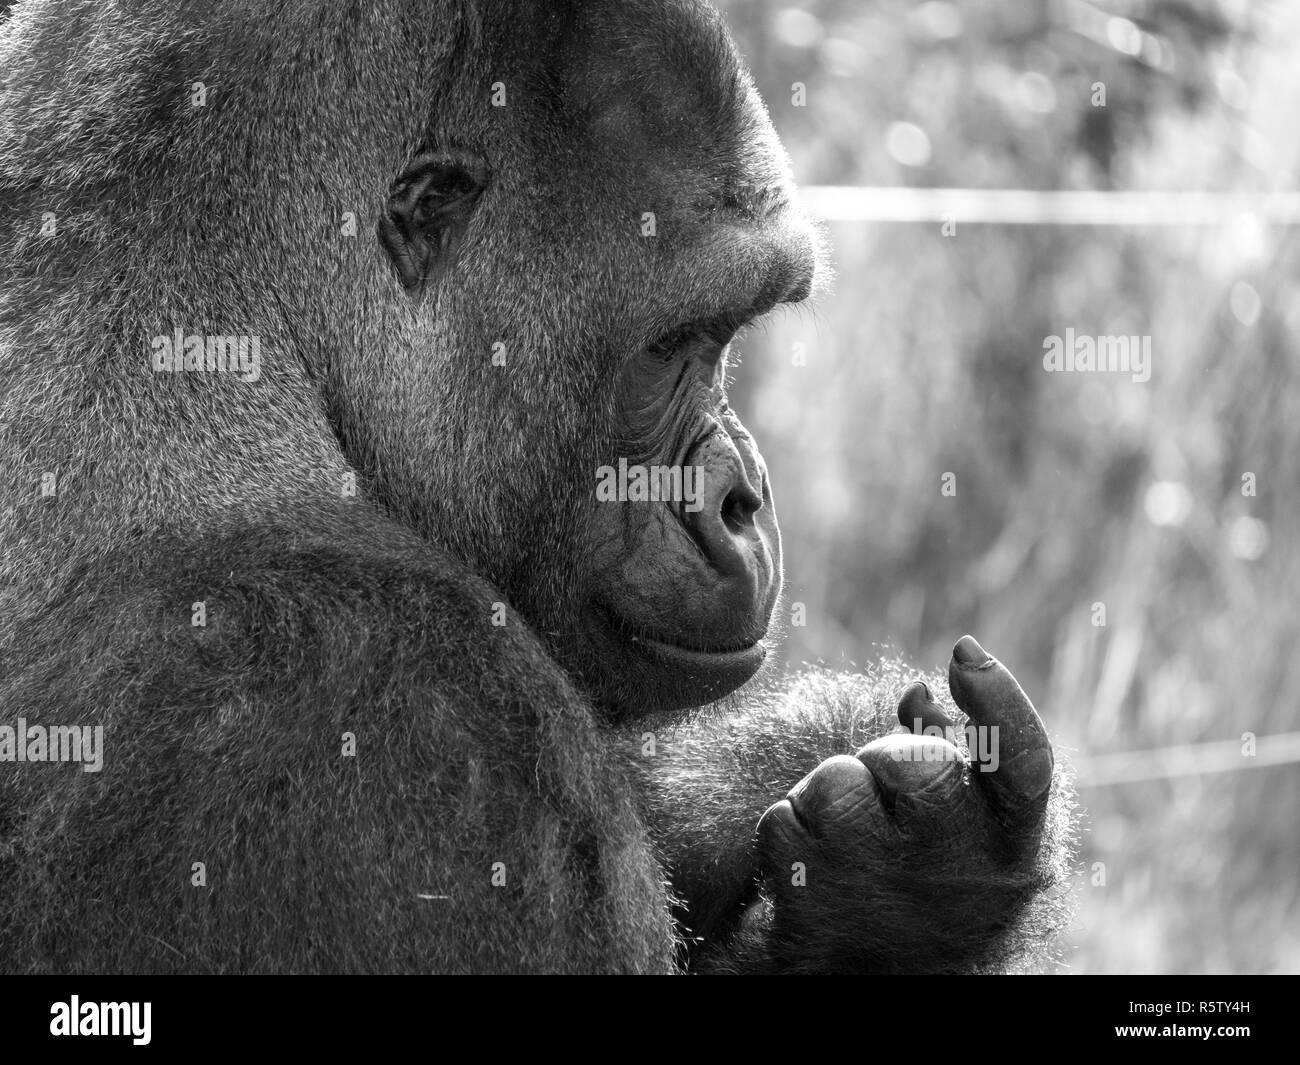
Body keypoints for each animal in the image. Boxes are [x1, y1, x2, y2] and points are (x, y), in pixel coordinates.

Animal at [0, 0, 1074, 973]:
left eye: (724, 336)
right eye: (670, 343)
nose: (743, 501)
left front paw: (908, 856)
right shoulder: (372, 677)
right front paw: (922, 890)